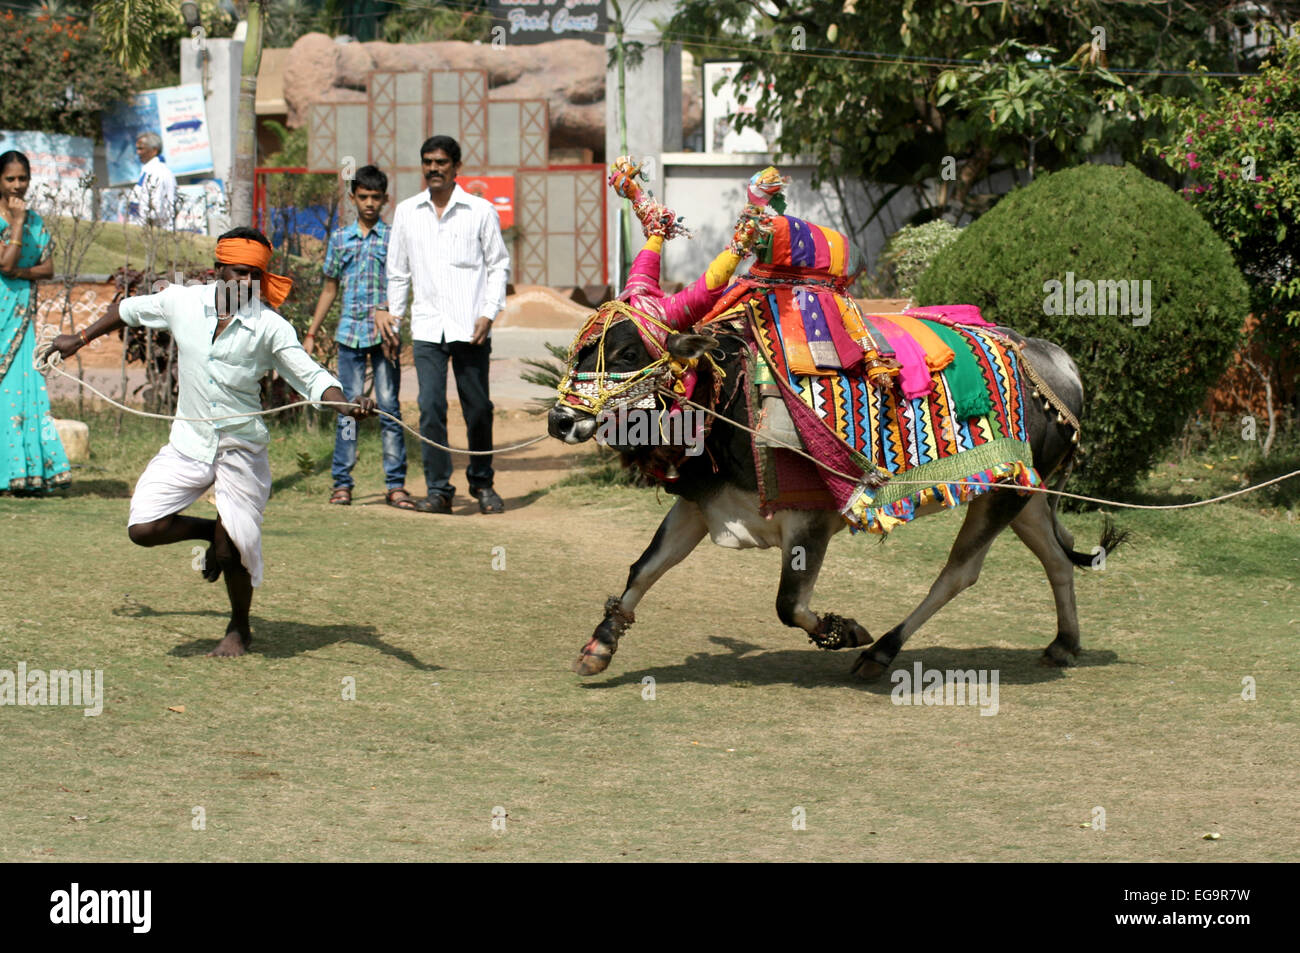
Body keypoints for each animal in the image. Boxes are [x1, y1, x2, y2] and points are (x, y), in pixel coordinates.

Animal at [548, 313, 1127, 681]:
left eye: (626, 353)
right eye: (581, 349)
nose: (559, 420)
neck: (731, 399)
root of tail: (1059, 363)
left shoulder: (809, 521)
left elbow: (787, 604)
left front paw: (842, 631)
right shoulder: (699, 504)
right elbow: (643, 569)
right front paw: (600, 644)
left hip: (1004, 493)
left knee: (960, 573)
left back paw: (882, 650)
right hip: (1025, 493)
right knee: (1057, 557)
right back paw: (1065, 643)